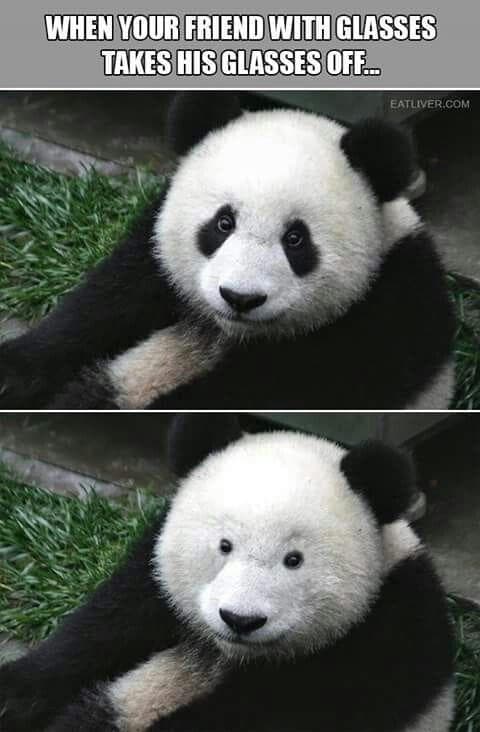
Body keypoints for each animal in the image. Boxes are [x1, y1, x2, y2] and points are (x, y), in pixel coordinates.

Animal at [0, 92, 455, 410]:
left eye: (296, 239)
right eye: (223, 224)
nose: (240, 298)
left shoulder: (390, 311)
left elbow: (291, 389)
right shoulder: (155, 252)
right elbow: (104, 303)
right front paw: (14, 374)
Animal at [0, 415, 455, 732]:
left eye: (294, 559)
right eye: (224, 545)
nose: (241, 619)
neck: (233, 654)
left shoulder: (383, 638)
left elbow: (273, 714)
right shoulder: (155, 577)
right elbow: (101, 628)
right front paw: (12, 697)